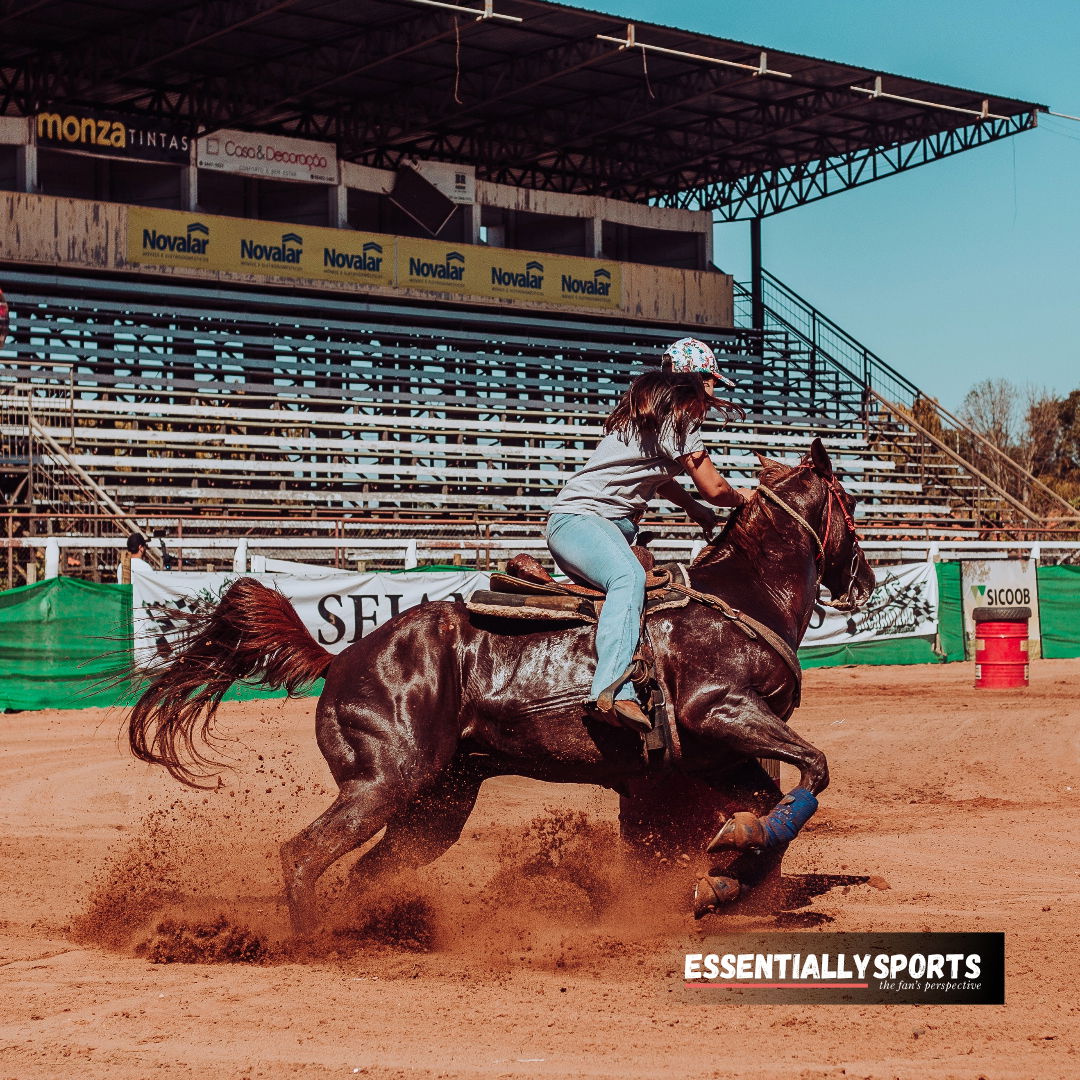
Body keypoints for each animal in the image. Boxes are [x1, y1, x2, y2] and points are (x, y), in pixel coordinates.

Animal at [127, 439, 875, 934]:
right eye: (853, 502)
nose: (864, 581)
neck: (741, 597)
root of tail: (340, 659)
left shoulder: (716, 756)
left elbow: (771, 815)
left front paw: (721, 877)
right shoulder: (719, 711)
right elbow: (815, 768)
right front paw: (724, 869)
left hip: (436, 805)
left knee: (367, 871)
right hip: (384, 783)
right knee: (303, 854)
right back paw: (312, 942)